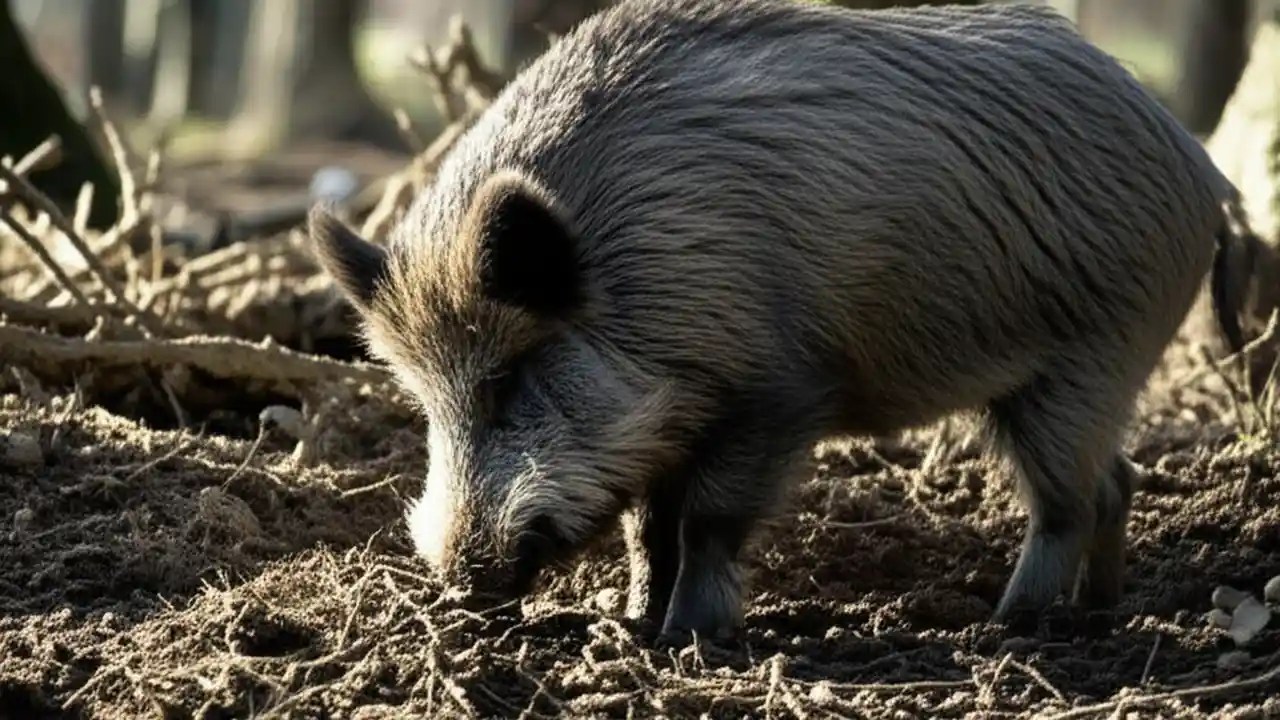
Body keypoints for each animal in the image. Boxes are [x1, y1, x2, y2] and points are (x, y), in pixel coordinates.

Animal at [309, 0, 1252, 641]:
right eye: (424, 404)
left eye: (507, 380)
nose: (463, 583)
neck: (642, 265)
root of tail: (1202, 168)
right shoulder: (674, 418)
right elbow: (648, 531)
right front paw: (636, 624)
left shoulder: (776, 392)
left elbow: (705, 521)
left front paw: (690, 637)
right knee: (1116, 480)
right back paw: (1095, 611)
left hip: (1090, 358)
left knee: (1069, 500)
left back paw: (1006, 623)